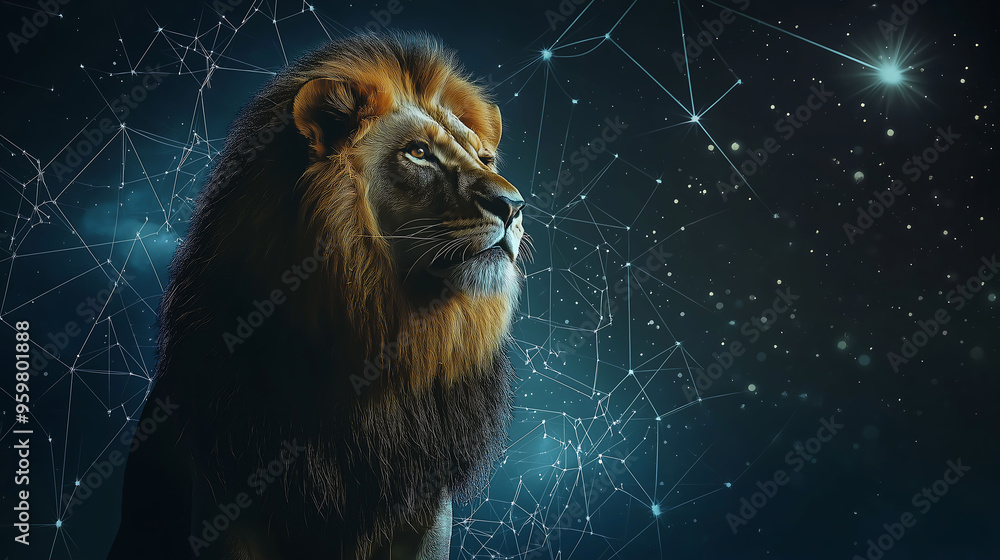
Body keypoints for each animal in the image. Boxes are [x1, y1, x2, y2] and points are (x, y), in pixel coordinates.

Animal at [107, 32, 528, 560]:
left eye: (485, 159)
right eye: (417, 152)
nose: (513, 206)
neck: (381, 334)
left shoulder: (424, 506)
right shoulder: (227, 499)